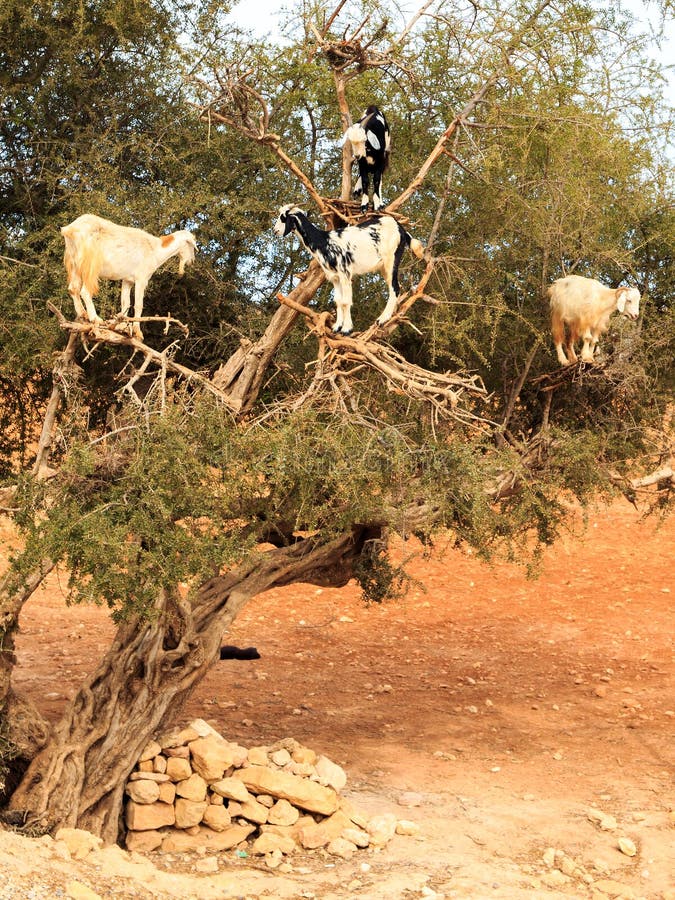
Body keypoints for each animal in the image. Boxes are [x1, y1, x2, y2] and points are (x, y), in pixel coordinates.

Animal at [61, 213, 196, 340]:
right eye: (192, 246)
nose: (192, 261)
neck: (155, 249)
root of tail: (70, 230)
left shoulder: (127, 280)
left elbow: (125, 303)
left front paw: (123, 326)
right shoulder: (141, 279)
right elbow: (138, 305)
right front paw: (137, 332)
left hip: (74, 264)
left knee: (73, 289)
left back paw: (83, 314)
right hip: (91, 267)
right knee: (85, 291)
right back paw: (96, 319)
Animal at [273, 204, 424, 334]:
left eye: (283, 218)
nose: (275, 231)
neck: (324, 241)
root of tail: (401, 228)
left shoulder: (344, 273)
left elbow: (346, 301)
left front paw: (347, 329)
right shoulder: (334, 277)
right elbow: (338, 301)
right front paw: (337, 327)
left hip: (391, 259)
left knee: (395, 288)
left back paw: (382, 319)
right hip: (383, 266)